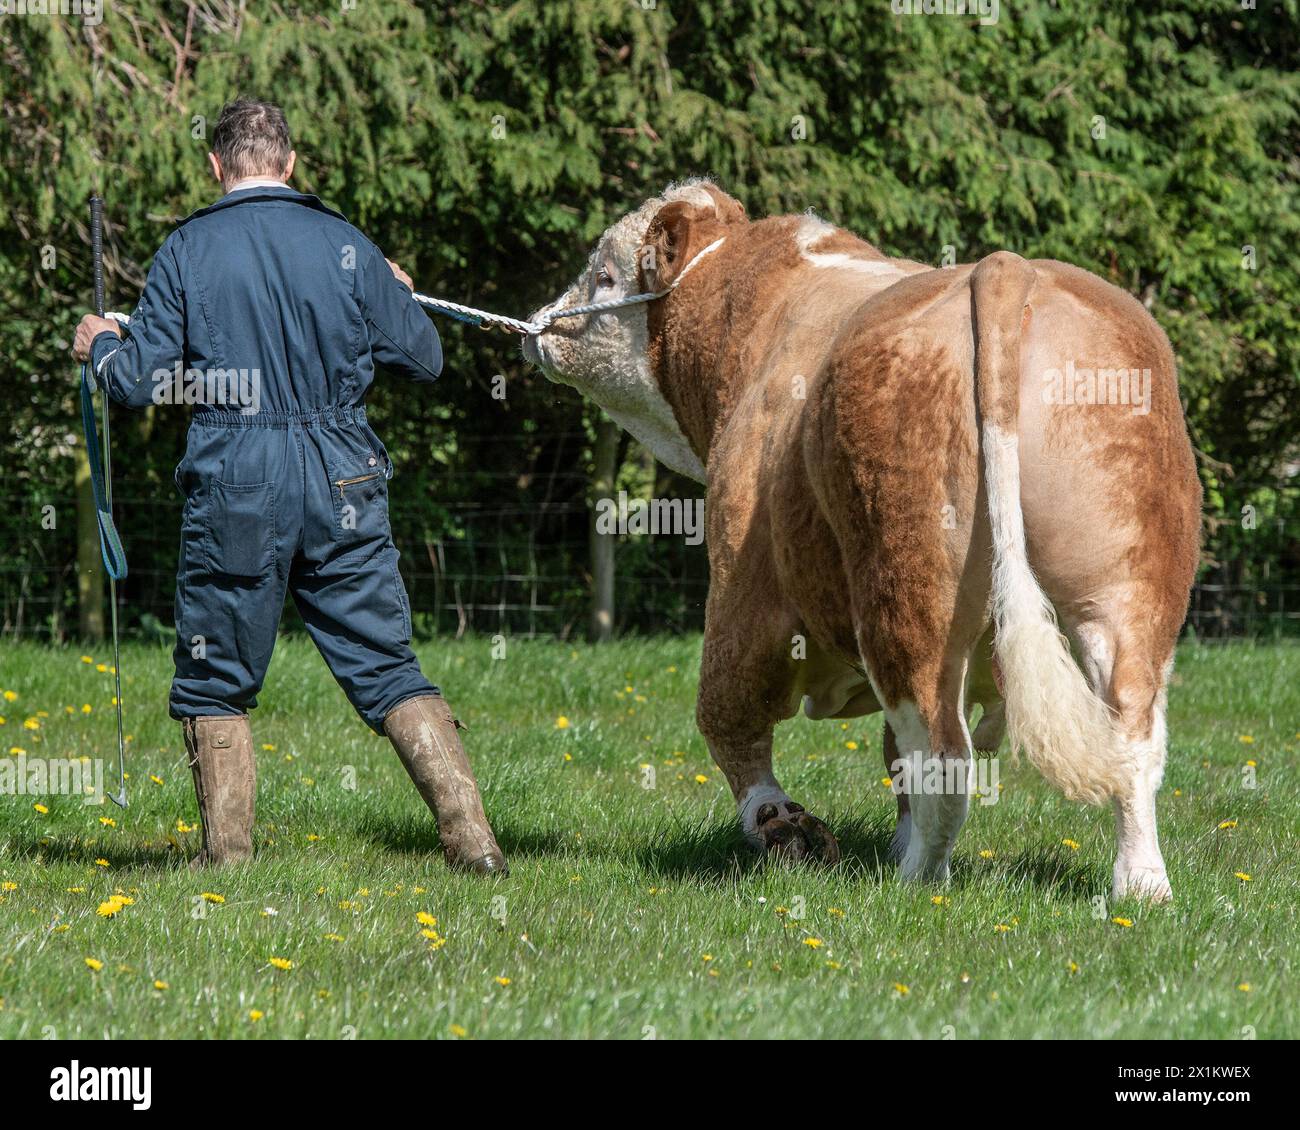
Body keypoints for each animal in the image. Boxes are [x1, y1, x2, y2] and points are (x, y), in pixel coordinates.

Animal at [523, 180, 1202, 902]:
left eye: (605, 275)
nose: (540, 326)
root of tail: (1005, 268)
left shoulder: (743, 580)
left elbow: (731, 716)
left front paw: (781, 826)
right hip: (1127, 586)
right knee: (1131, 735)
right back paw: (1140, 885)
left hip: (903, 585)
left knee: (943, 750)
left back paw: (918, 878)